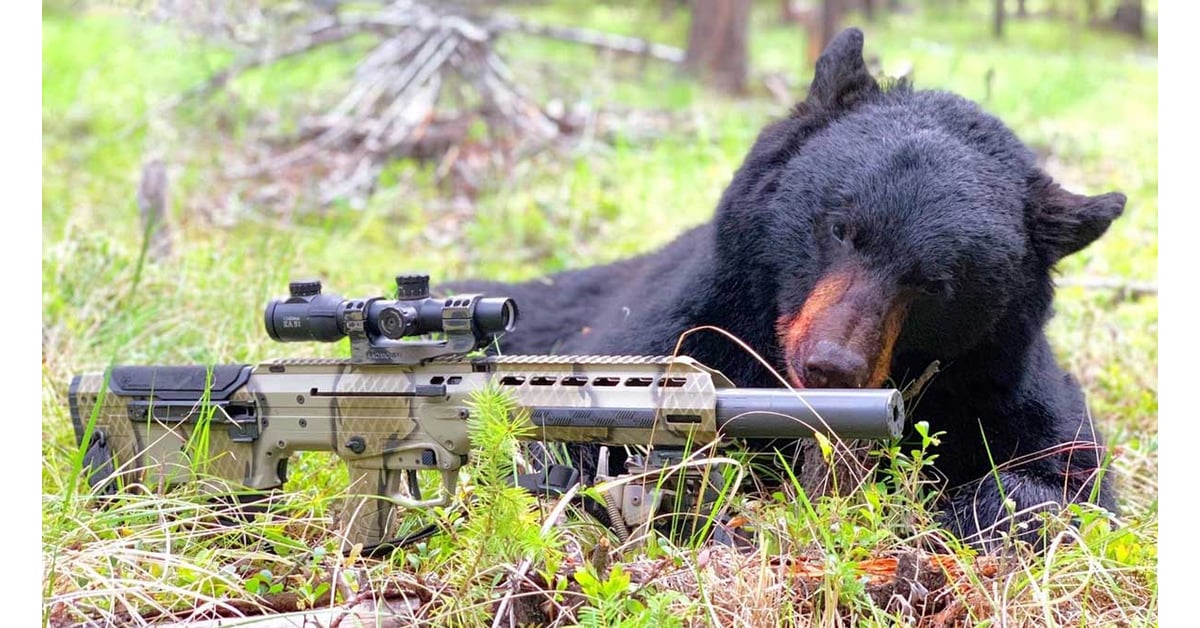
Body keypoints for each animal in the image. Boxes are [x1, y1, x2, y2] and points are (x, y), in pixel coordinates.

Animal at [445, 28, 1123, 550]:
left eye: (936, 282)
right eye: (842, 227)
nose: (832, 366)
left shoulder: (995, 379)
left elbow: (1071, 478)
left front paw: (979, 510)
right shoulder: (687, 326)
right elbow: (586, 444)